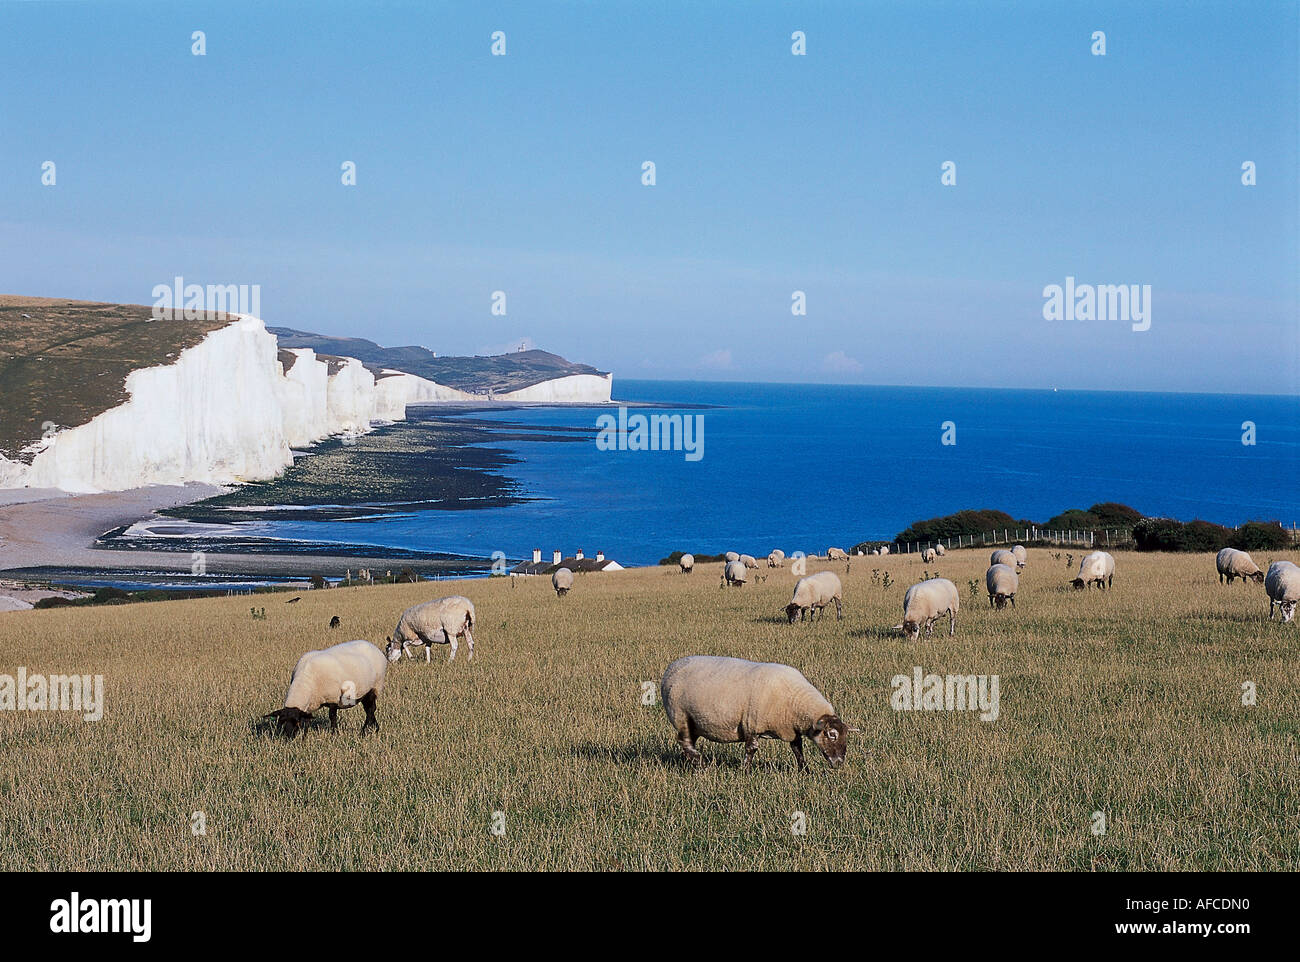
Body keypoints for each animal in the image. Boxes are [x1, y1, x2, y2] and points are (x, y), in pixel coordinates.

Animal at [660, 655, 855, 770]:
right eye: (831, 734)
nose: (839, 763)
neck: (794, 702)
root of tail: (671, 668)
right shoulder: (751, 724)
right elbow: (751, 748)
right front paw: (745, 770)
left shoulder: (792, 729)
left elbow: (797, 749)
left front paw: (804, 770)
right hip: (681, 715)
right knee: (685, 742)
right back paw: (701, 764)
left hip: (695, 721)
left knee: (688, 743)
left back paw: (693, 763)